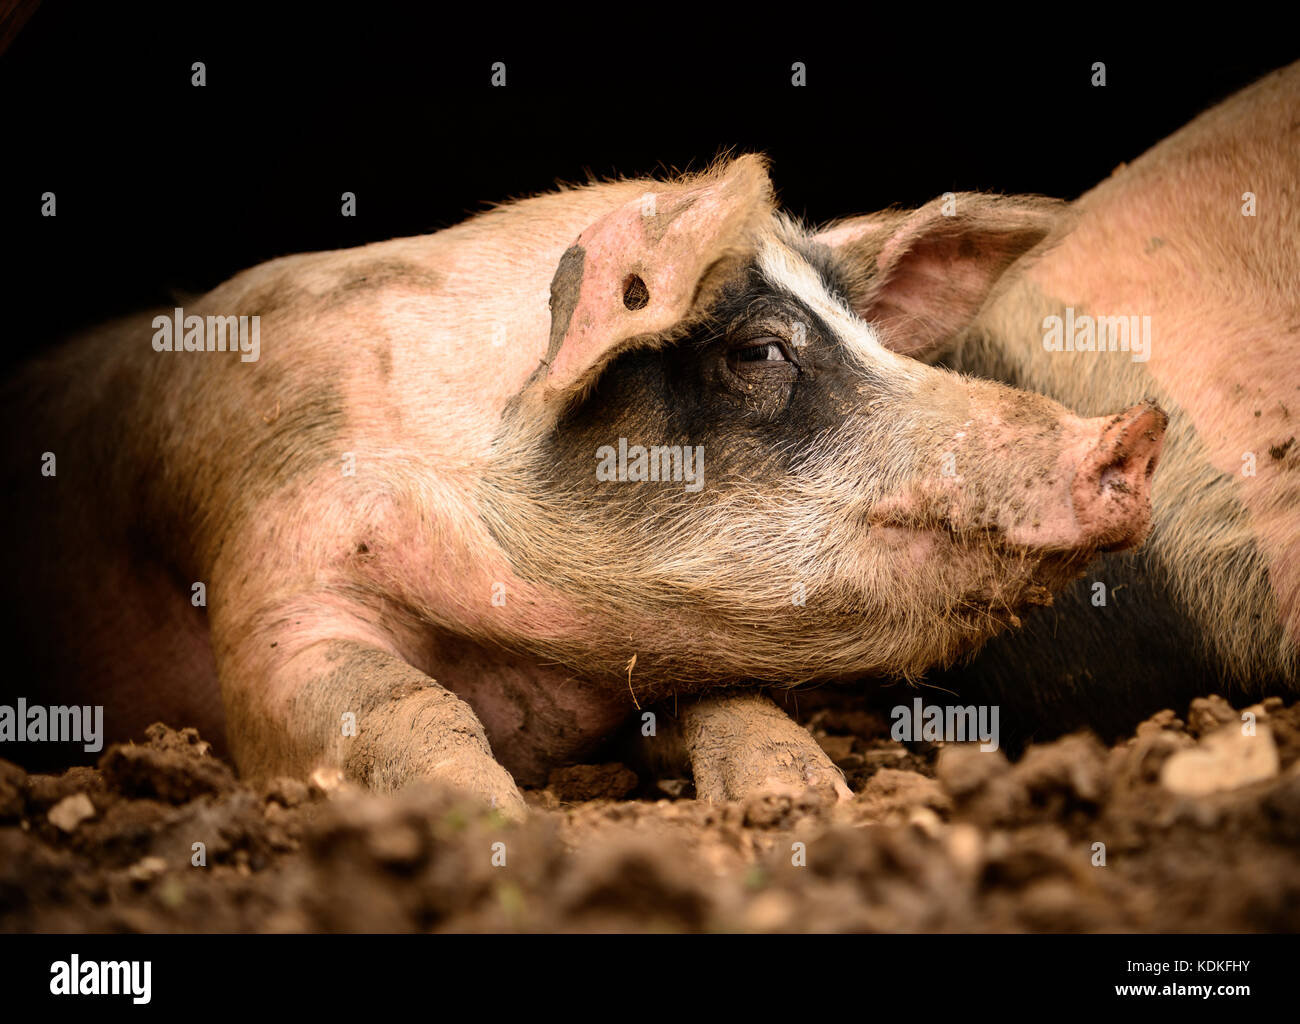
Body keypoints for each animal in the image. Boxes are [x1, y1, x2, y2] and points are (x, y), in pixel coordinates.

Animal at [0, 154, 1166, 815]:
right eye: (759, 352)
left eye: (872, 337)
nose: (1137, 431)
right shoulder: (268, 566)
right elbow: (396, 699)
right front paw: (493, 822)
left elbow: (728, 688)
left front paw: (800, 801)